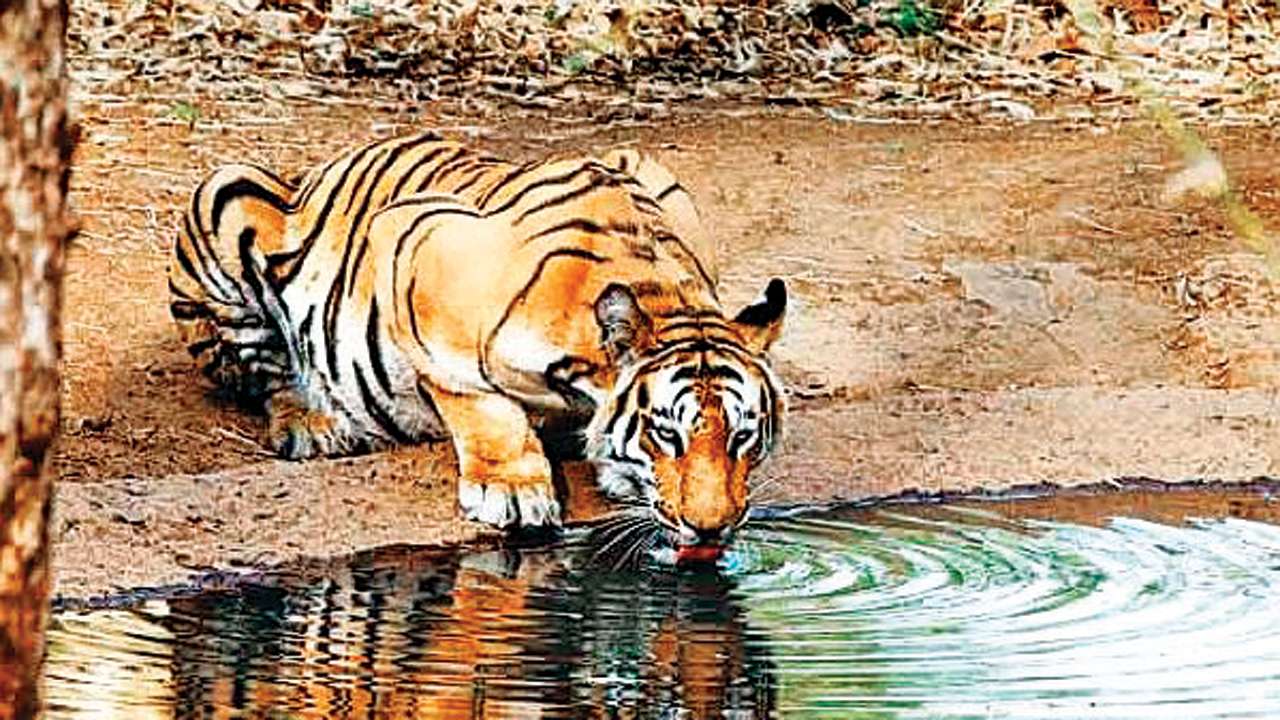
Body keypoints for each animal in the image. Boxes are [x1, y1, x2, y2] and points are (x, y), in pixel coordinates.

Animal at [168, 131, 787, 561]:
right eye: (667, 434)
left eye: (743, 436)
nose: (711, 529)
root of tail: (311, 172)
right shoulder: (414, 244)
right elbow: (476, 397)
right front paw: (513, 491)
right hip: (226, 192)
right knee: (265, 371)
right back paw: (314, 425)